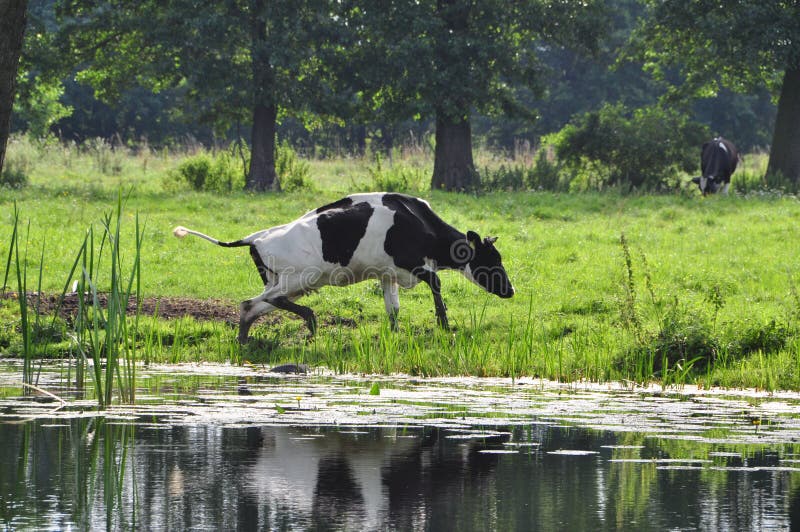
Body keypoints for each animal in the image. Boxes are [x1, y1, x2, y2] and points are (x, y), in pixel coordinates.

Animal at [173, 192, 514, 343]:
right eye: (493, 259)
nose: (511, 290)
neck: (416, 221)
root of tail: (256, 237)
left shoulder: (388, 274)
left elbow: (393, 309)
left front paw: (394, 334)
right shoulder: (409, 264)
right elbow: (437, 284)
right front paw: (444, 325)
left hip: (284, 281)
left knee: (252, 305)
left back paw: (245, 340)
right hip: (300, 278)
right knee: (260, 301)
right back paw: (311, 321)